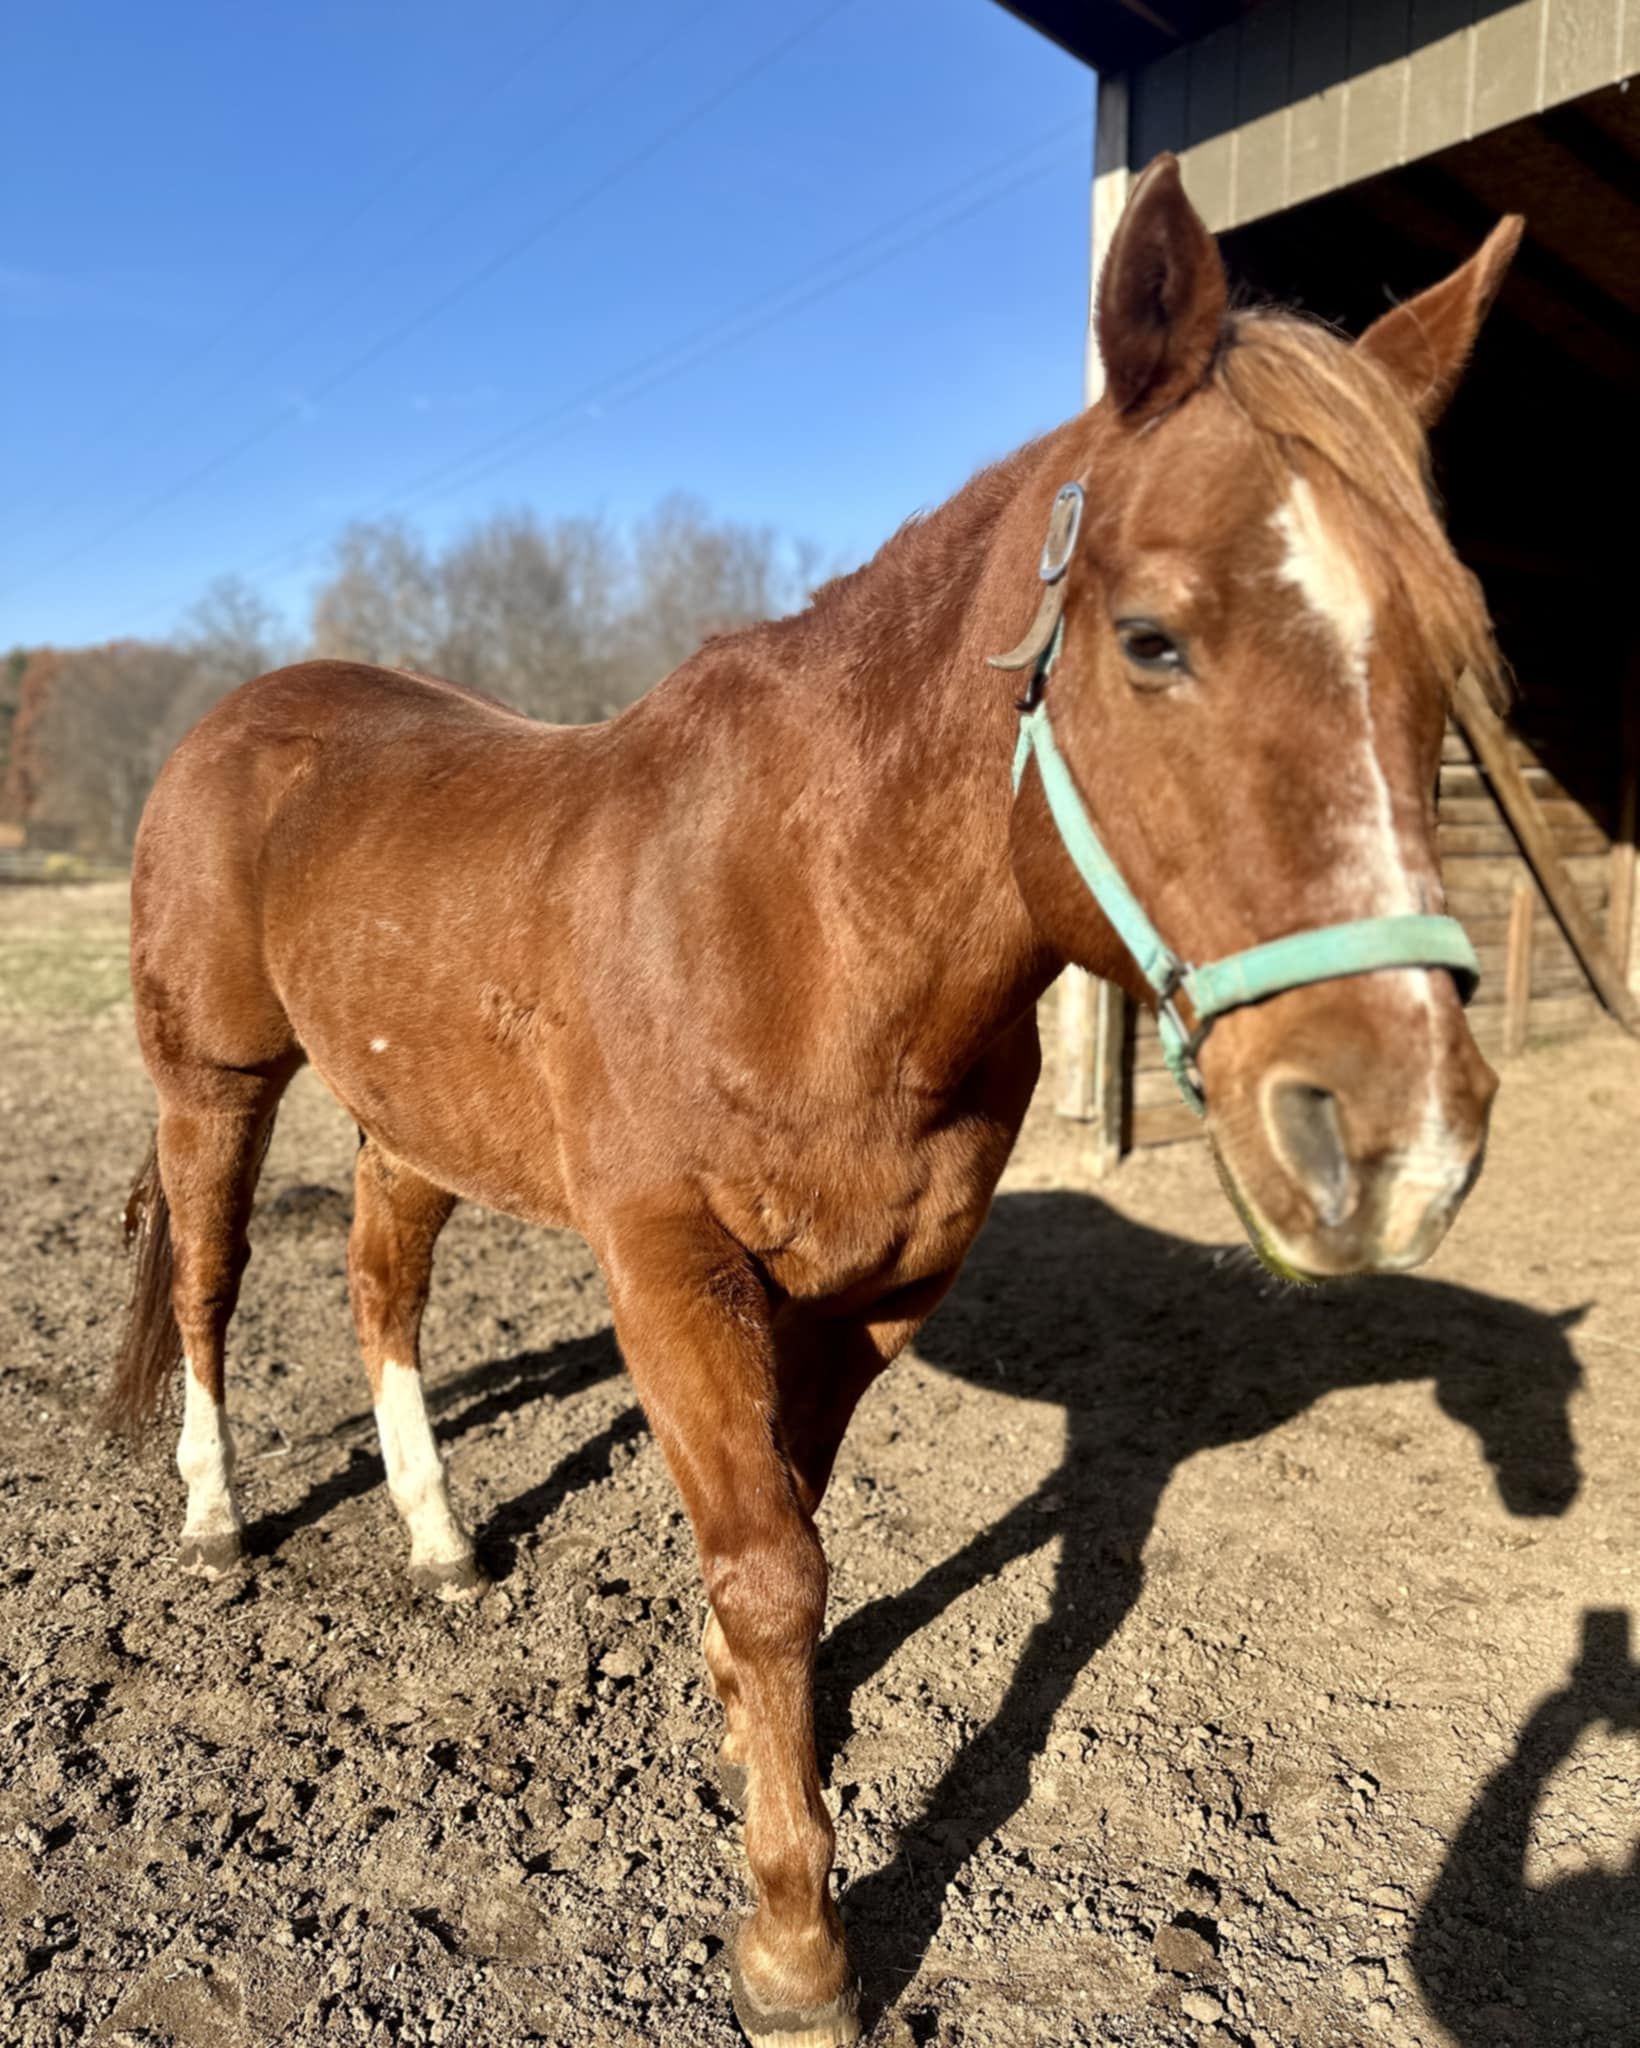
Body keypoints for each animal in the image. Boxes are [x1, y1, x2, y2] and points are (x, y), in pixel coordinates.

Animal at [107, 156, 1521, 2044]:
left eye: (1446, 664)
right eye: (1151, 639)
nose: (1397, 1138)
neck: (804, 914)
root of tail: (241, 716)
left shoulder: (876, 1283)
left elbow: (791, 1520)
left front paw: (761, 1737)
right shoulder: (669, 1265)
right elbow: (771, 1566)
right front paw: (795, 1940)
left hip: (410, 1117)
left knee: (381, 1288)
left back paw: (441, 1540)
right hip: (216, 1077)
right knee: (210, 1281)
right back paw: (212, 1517)